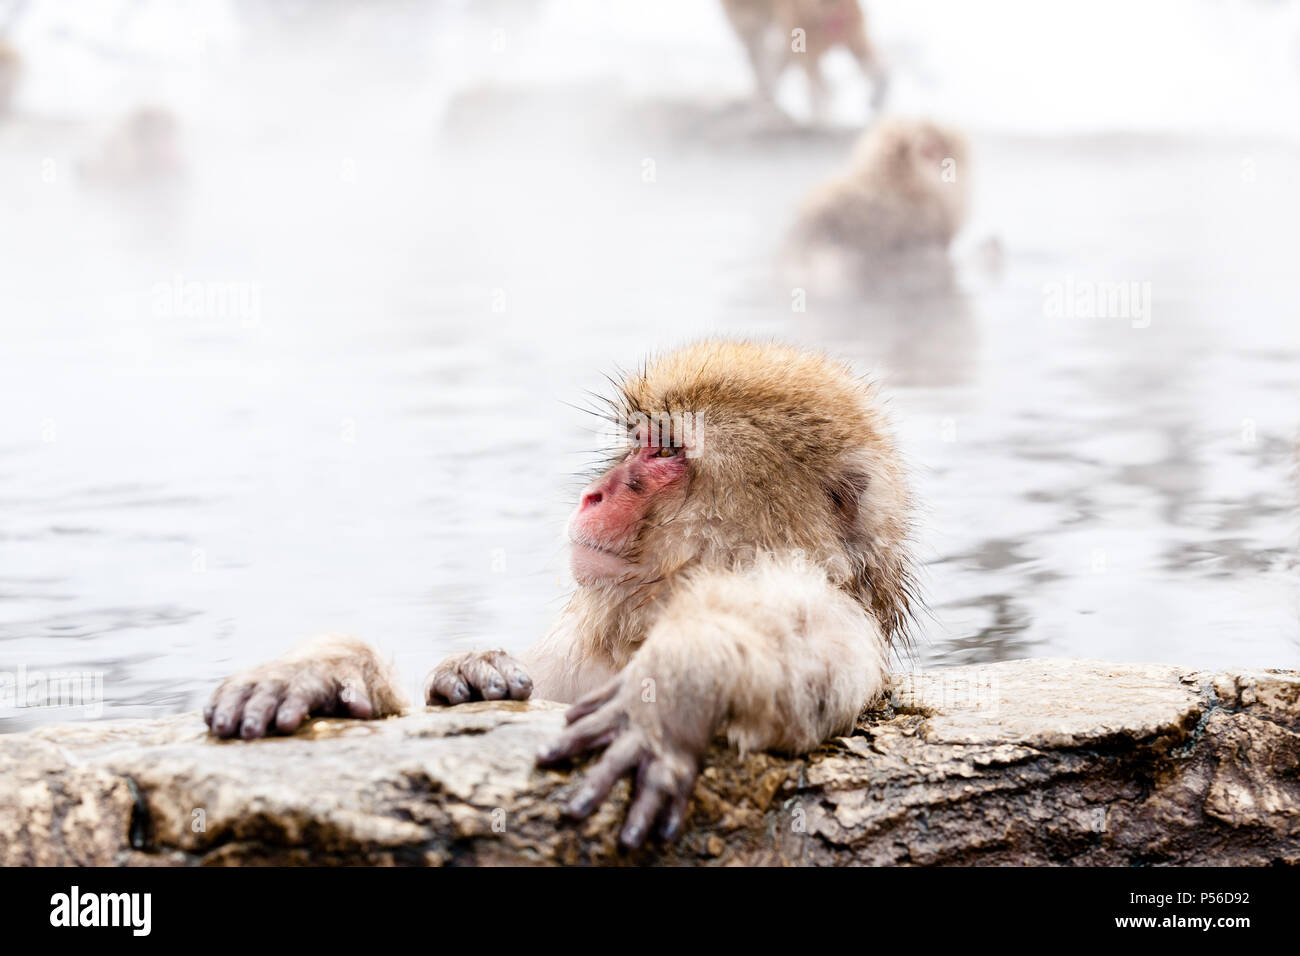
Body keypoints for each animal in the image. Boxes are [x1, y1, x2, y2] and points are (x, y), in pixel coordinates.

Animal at [204, 340, 919, 848]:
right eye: (637, 440)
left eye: (665, 452)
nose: (594, 494)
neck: (641, 621)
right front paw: (331, 671)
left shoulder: (837, 611)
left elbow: (805, 658)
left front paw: (671, 688)